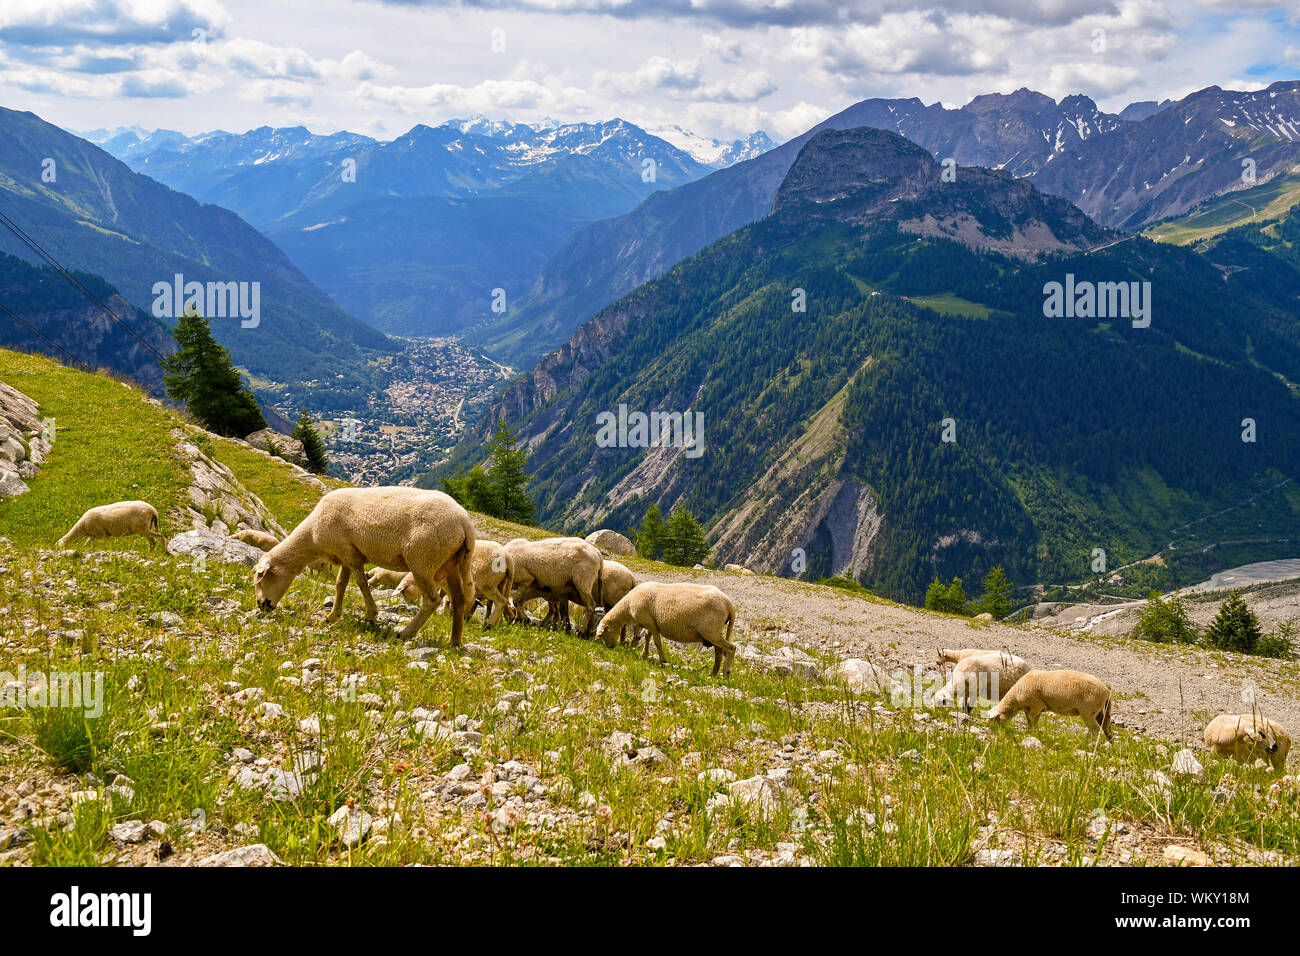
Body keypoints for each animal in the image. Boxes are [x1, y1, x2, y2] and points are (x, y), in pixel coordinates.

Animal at [253, 487, 474, 645]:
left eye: (261, 580)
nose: (261, 605)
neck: (312, 535)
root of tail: (465, 523)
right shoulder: (345, 556)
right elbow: (340, 584)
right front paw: (332, 616)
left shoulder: (350, 555)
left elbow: (361, 584)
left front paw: (371, 616)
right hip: (453, 563)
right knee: (459, 599)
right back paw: (454, 641)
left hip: (423, 560)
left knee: (432, 600)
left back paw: (406, 634)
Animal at [595, 582, 736, 677]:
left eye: (602, 635)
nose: (609, 648)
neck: (628, 607)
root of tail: (729, 604)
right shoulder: (650, 623)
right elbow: (647, 636)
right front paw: (644, 654)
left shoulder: (651, 623)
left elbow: (657, 642)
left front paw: (662, 661)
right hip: (714, 633)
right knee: (719, 652)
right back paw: (713, 673)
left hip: (711, 632)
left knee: (731, 648)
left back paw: (725, 672)